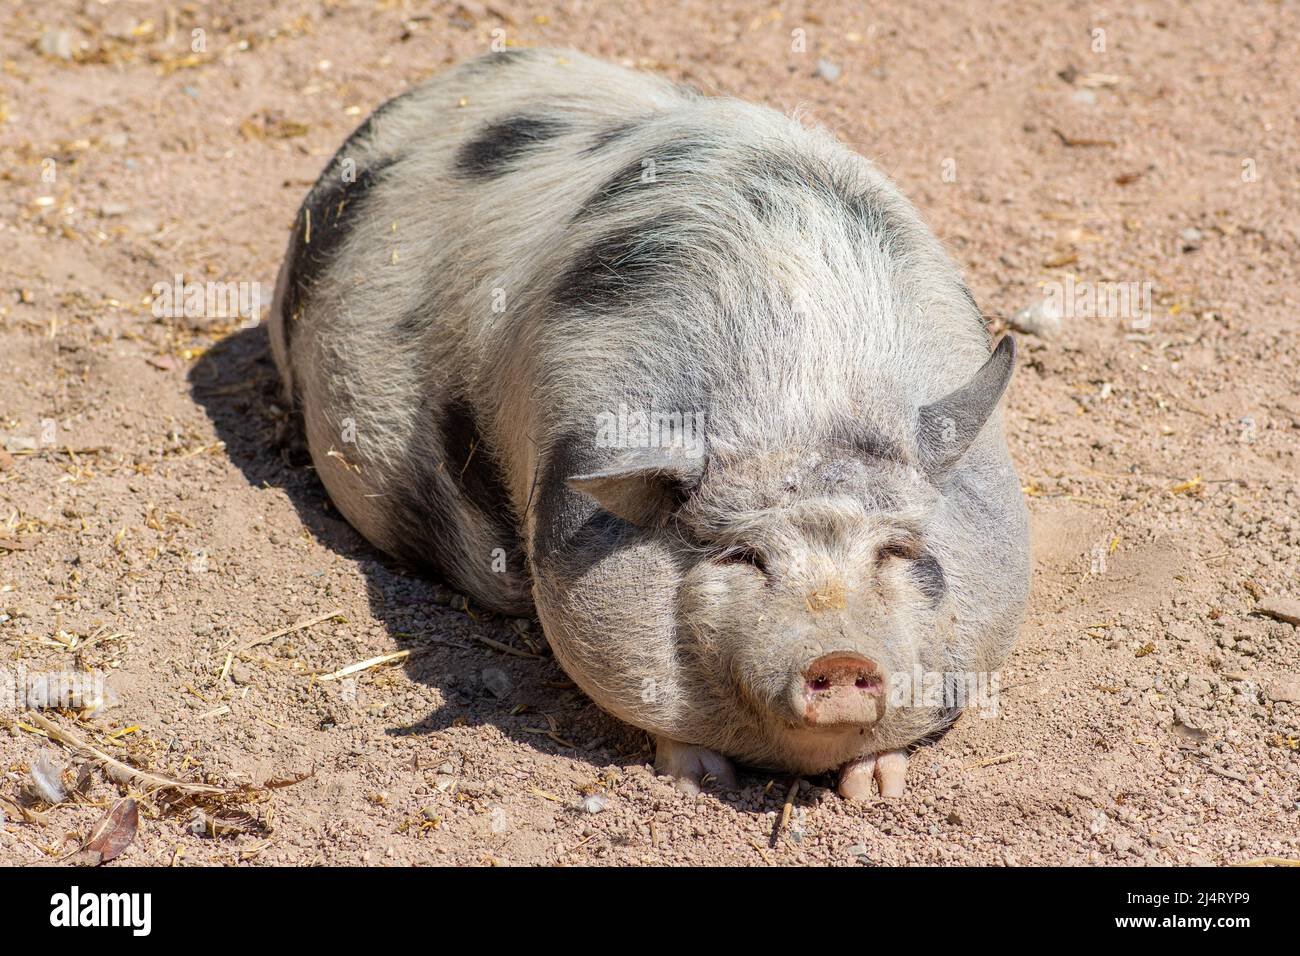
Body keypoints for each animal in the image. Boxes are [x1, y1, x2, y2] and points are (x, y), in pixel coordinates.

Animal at [268, 48, 1031, 800]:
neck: (801, 397)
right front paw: (697, 781)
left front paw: (875, 789)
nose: (840, 657)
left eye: (894, 552)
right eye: (742, 557)